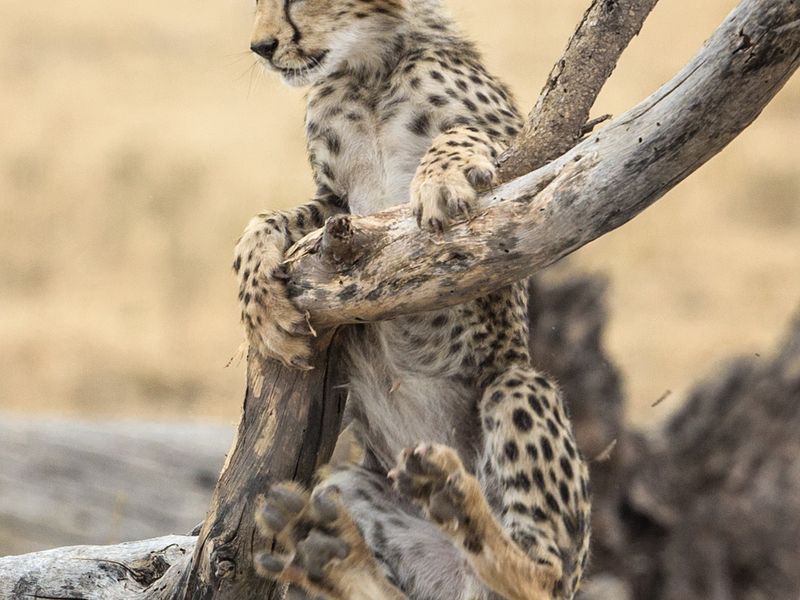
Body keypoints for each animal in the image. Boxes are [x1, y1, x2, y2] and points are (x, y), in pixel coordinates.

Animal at [233, 1, 591, 598]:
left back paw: (453, 499)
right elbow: (267, 220)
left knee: (540, 575)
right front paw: (260, 305)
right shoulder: (336, 210)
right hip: (354, 479)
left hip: (517, 385)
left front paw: (440, 177)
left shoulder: (529, 149)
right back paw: (323, 548)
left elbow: (464, 133)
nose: (261, 47)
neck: (368, 73)